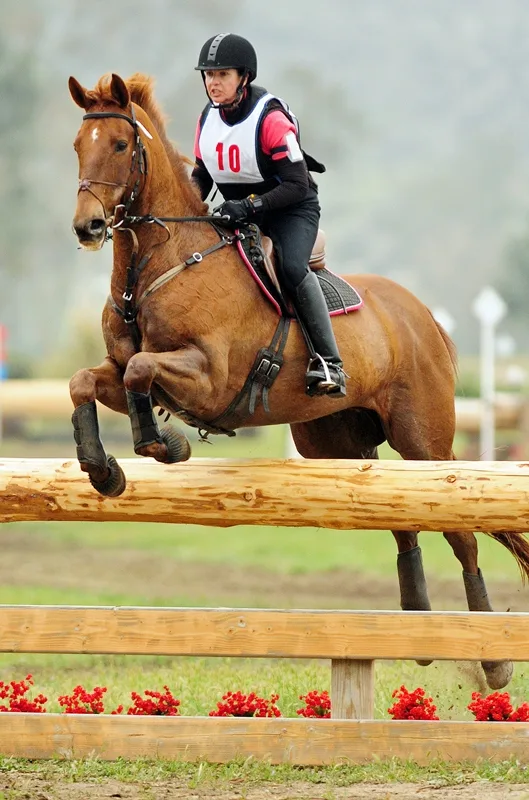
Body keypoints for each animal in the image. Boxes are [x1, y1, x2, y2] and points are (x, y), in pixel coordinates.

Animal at [68, 72, 529, 690]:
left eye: (120, 145)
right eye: (77, 145)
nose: (88, 227)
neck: (160, 263)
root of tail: (420, 314)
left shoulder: (209, 378)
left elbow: (144, 372)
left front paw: (165, 446)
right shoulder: (121, 375)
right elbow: (85, 382)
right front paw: (103, 470)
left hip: (423, 441)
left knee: (460, 532)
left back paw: (490, 656)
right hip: (334, 441)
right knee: (398, 518)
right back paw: (417, 625)